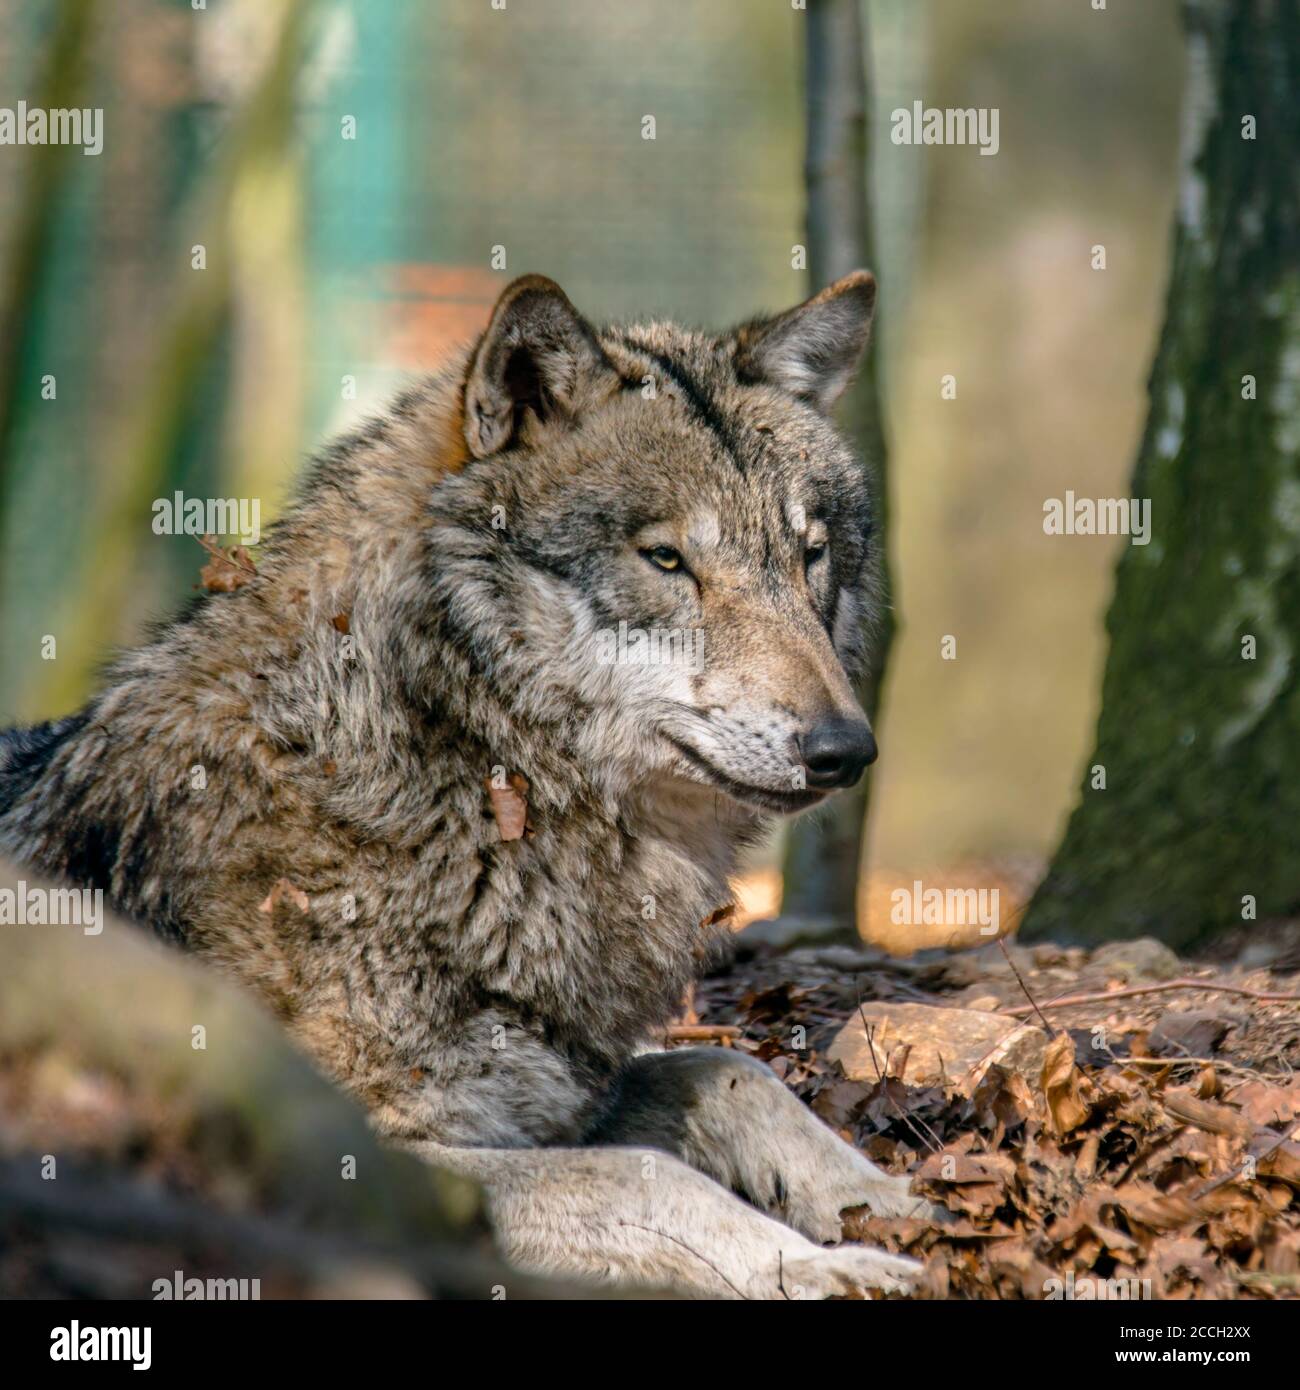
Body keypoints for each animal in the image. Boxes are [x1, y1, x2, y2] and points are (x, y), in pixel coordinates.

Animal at [0, 271, 932, 1298]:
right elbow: (644, 1175)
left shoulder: (554, 1089)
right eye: (666, 560)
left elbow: (733, 1078)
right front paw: (829, 1267)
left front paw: (905, 1206)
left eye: (809, 557)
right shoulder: (379, 1158)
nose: (846, 748)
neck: (449, 770)